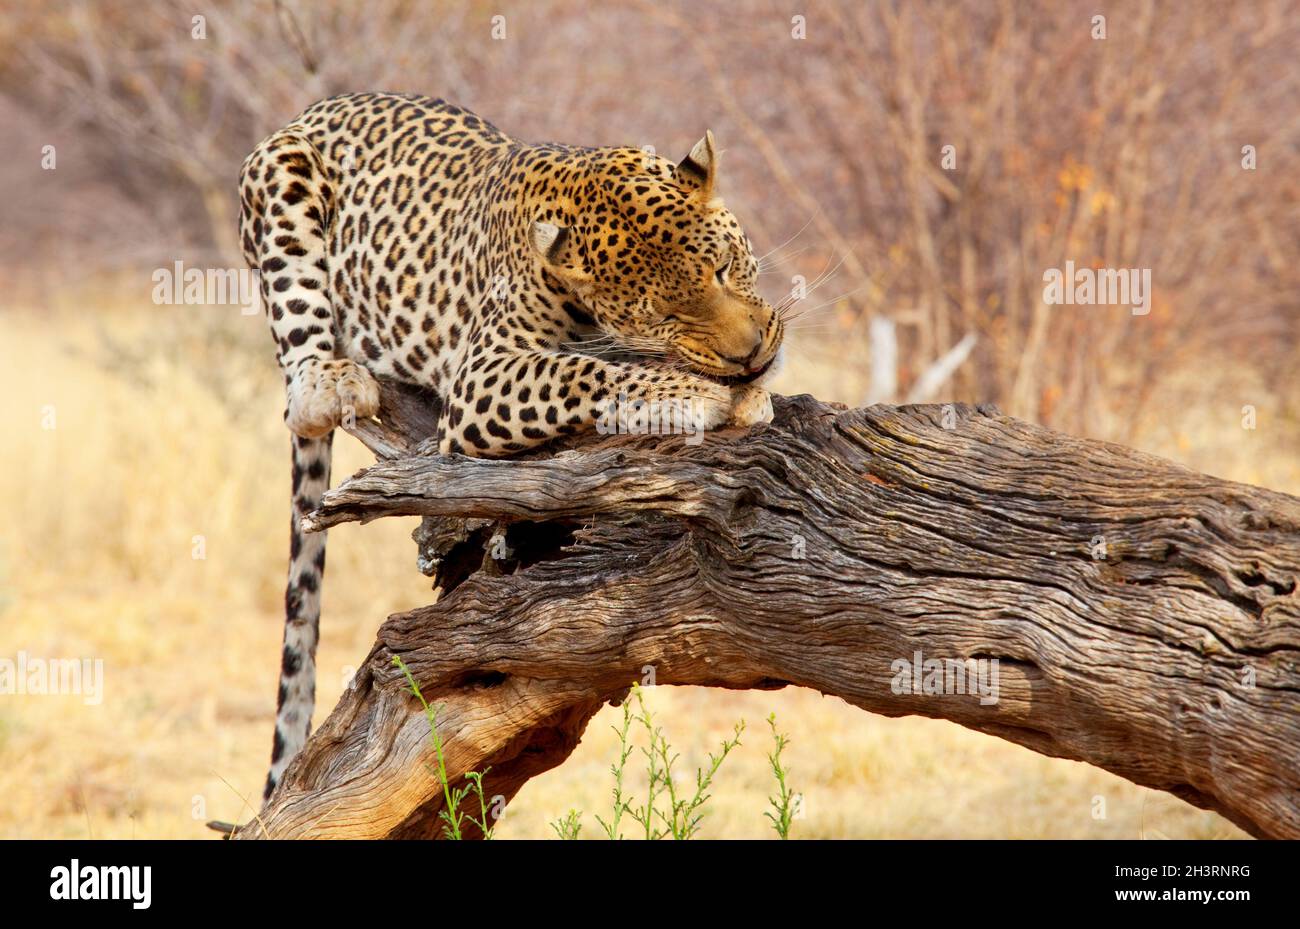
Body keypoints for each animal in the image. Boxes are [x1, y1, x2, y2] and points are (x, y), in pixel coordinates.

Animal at [237, 92, 785, 805]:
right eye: (664, 314)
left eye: (723, 266)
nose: (750, 354)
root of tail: (318, 107)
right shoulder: (482, 375)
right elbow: (585, 371)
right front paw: (694, 392)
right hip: (280, 177)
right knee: (302, 385)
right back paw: (333, 380)